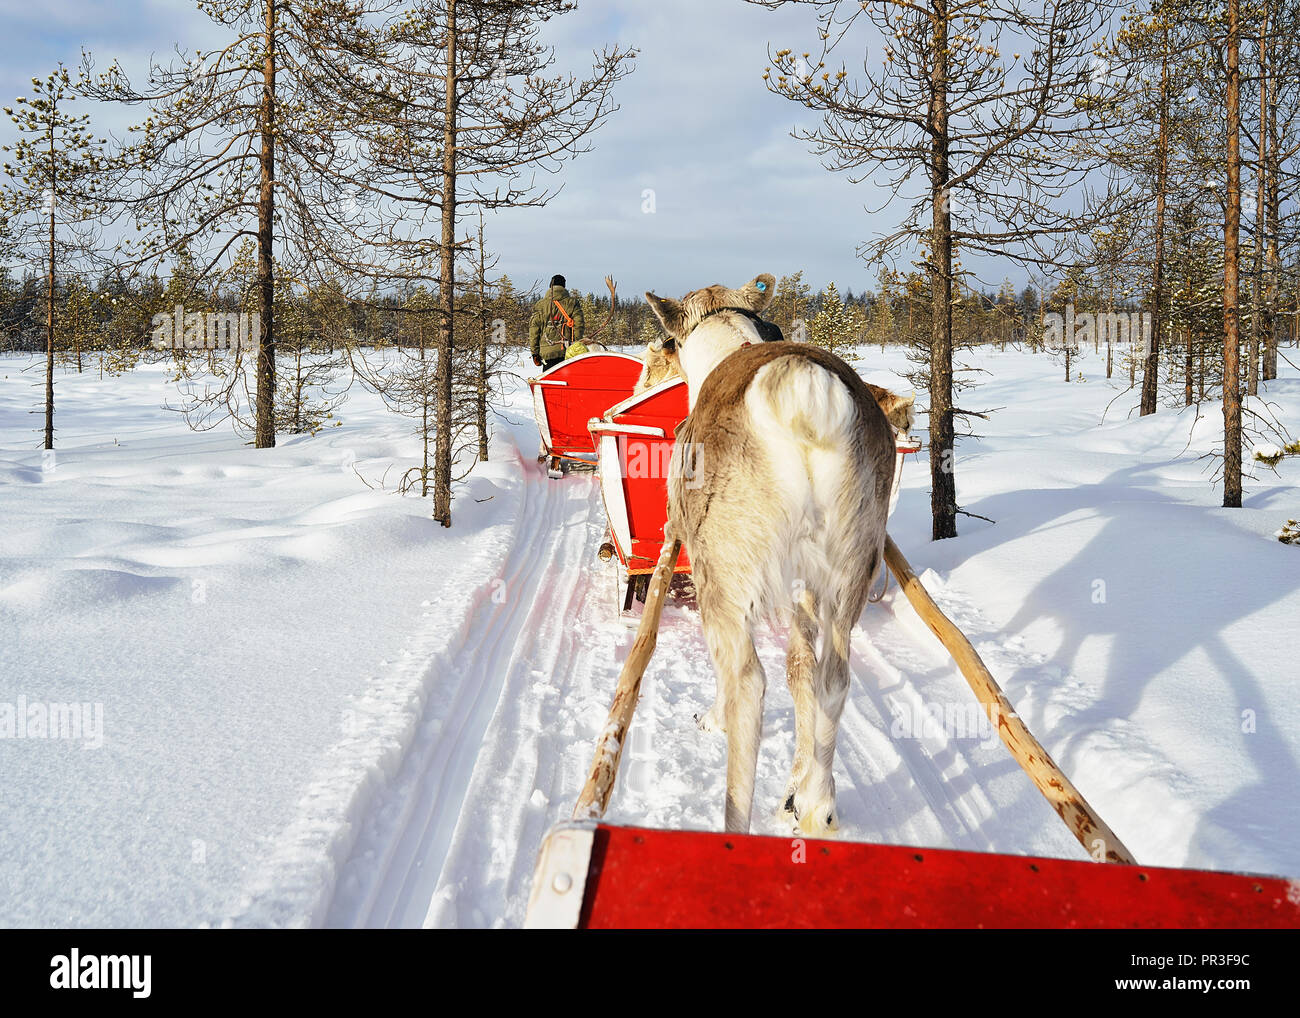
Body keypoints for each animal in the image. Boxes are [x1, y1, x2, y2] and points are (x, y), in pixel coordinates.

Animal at [645, 274, 897, 836]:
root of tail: (800, 388)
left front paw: (712, 719)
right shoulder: (805, 586)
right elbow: (800, 668)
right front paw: (797, 788)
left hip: (726, 574)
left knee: (748, 685)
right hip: (849, 573)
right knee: (833, 678)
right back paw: (817, 804)